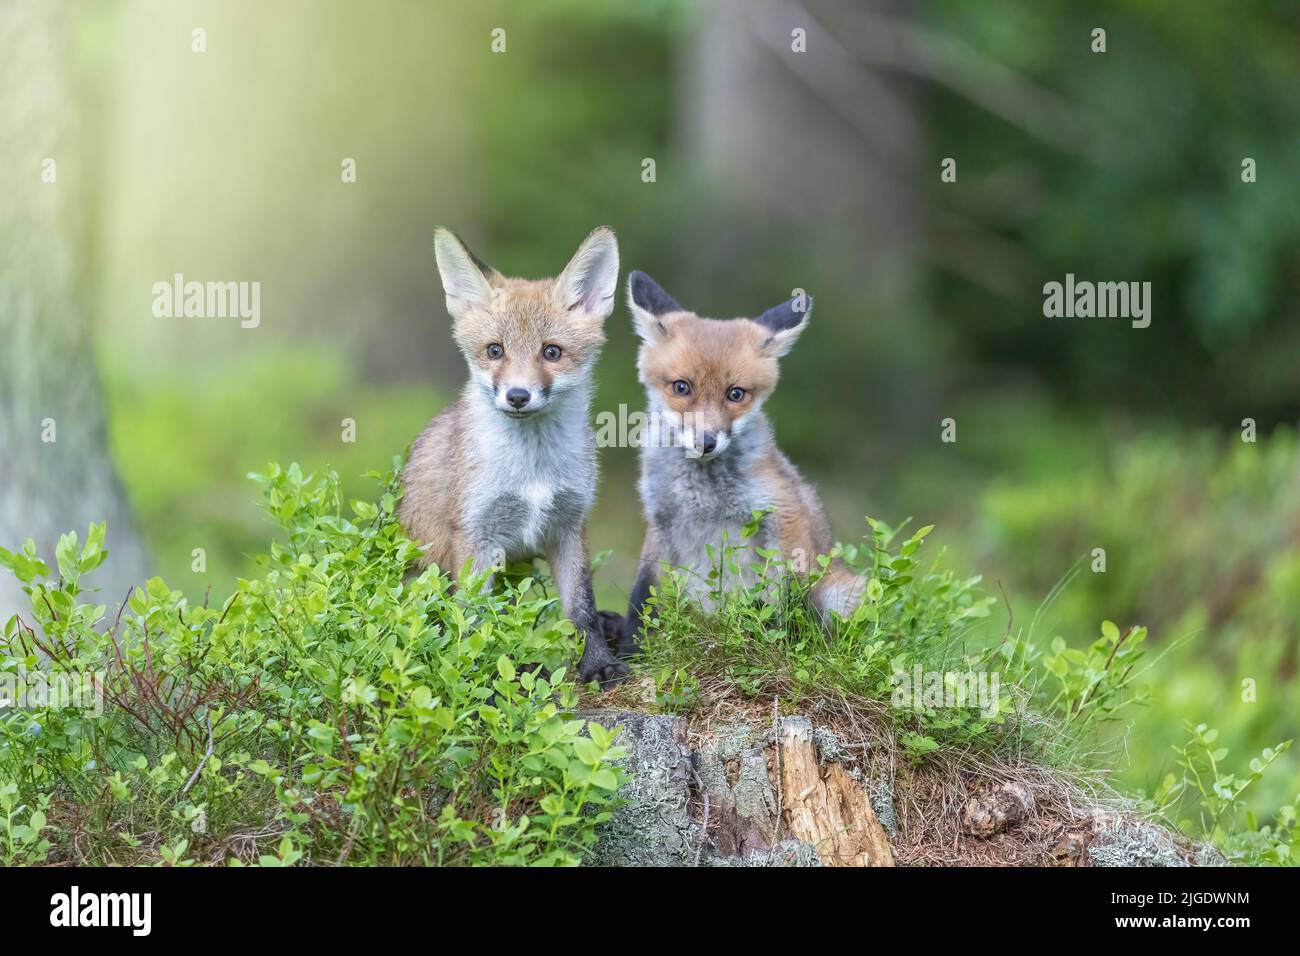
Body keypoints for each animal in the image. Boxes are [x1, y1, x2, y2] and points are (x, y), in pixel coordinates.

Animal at [398, 226, 628, 686]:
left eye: (551, 352)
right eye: (495, 351)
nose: (518, 396)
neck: (532, 471)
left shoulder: (569, 525)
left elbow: (582, 609)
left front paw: (597, 664)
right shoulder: (476, 535)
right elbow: (473, 621)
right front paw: (480, 682)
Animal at [621, 271, 865, 647]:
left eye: (735, 394)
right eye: (682, 387)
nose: (706, 442)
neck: (701, 493)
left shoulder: (785, 512)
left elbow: (785, 600)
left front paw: (778, 642)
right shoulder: (660, 519)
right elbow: (644, 594)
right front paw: (628, 648)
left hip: (844, 592)